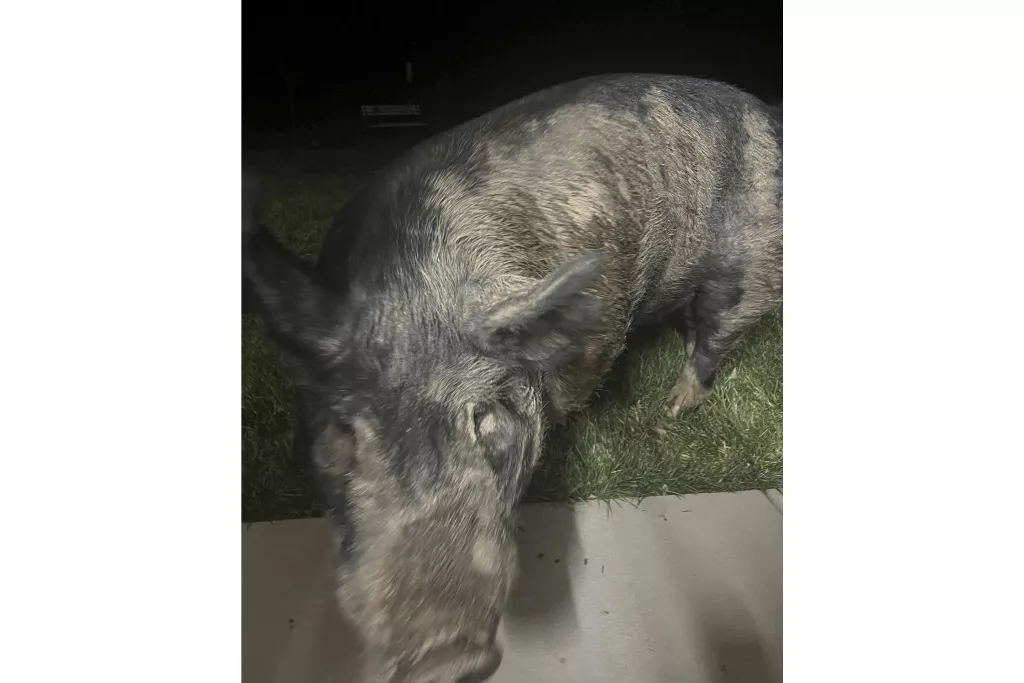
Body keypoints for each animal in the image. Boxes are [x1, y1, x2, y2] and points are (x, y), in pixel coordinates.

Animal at [242, 73, 782, 682]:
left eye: (483, 418)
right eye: (344, 432)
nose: (445, 655)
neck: (414, 289)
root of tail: (769, 115)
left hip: (751, 264)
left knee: (717, 332)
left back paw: (673, 406)